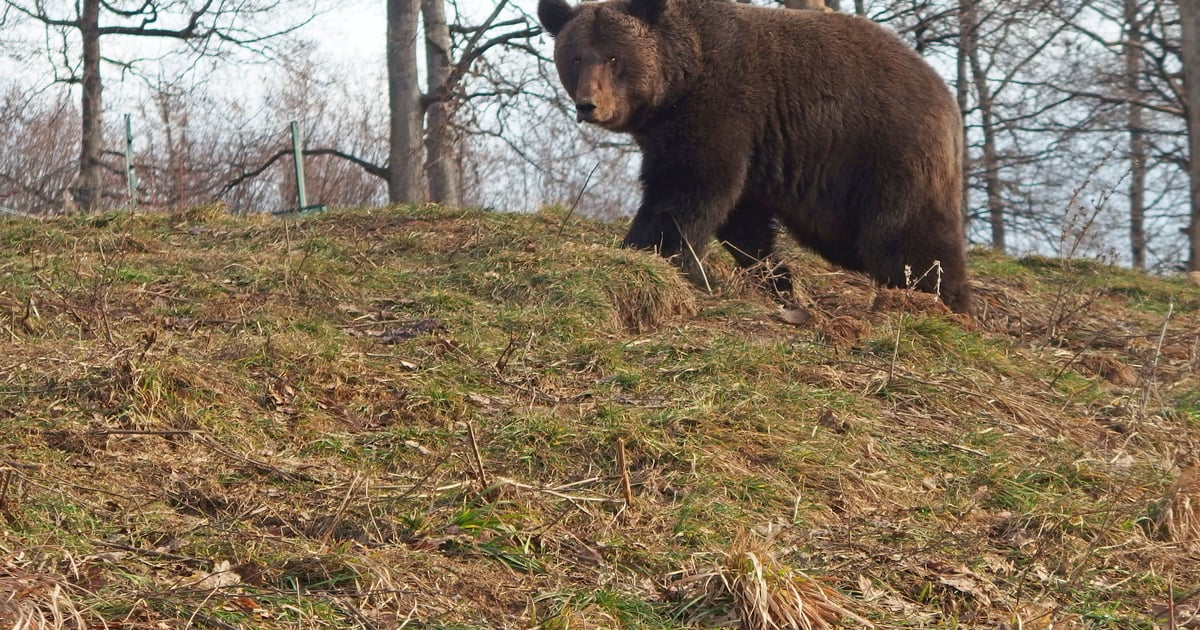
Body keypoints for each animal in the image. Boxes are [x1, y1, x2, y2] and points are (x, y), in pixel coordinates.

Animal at [537, 0, 972, 314]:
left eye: (613, 57)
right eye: (575, 57)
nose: (589, 104)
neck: (680, 83)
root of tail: (941, 88)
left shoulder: (721, 111)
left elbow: (685, 190)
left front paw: (648, 250)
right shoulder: (739, 145)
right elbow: (741, 220)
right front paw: (776, 278)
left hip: (886, 150)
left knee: (907, 233)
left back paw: (936, 299)